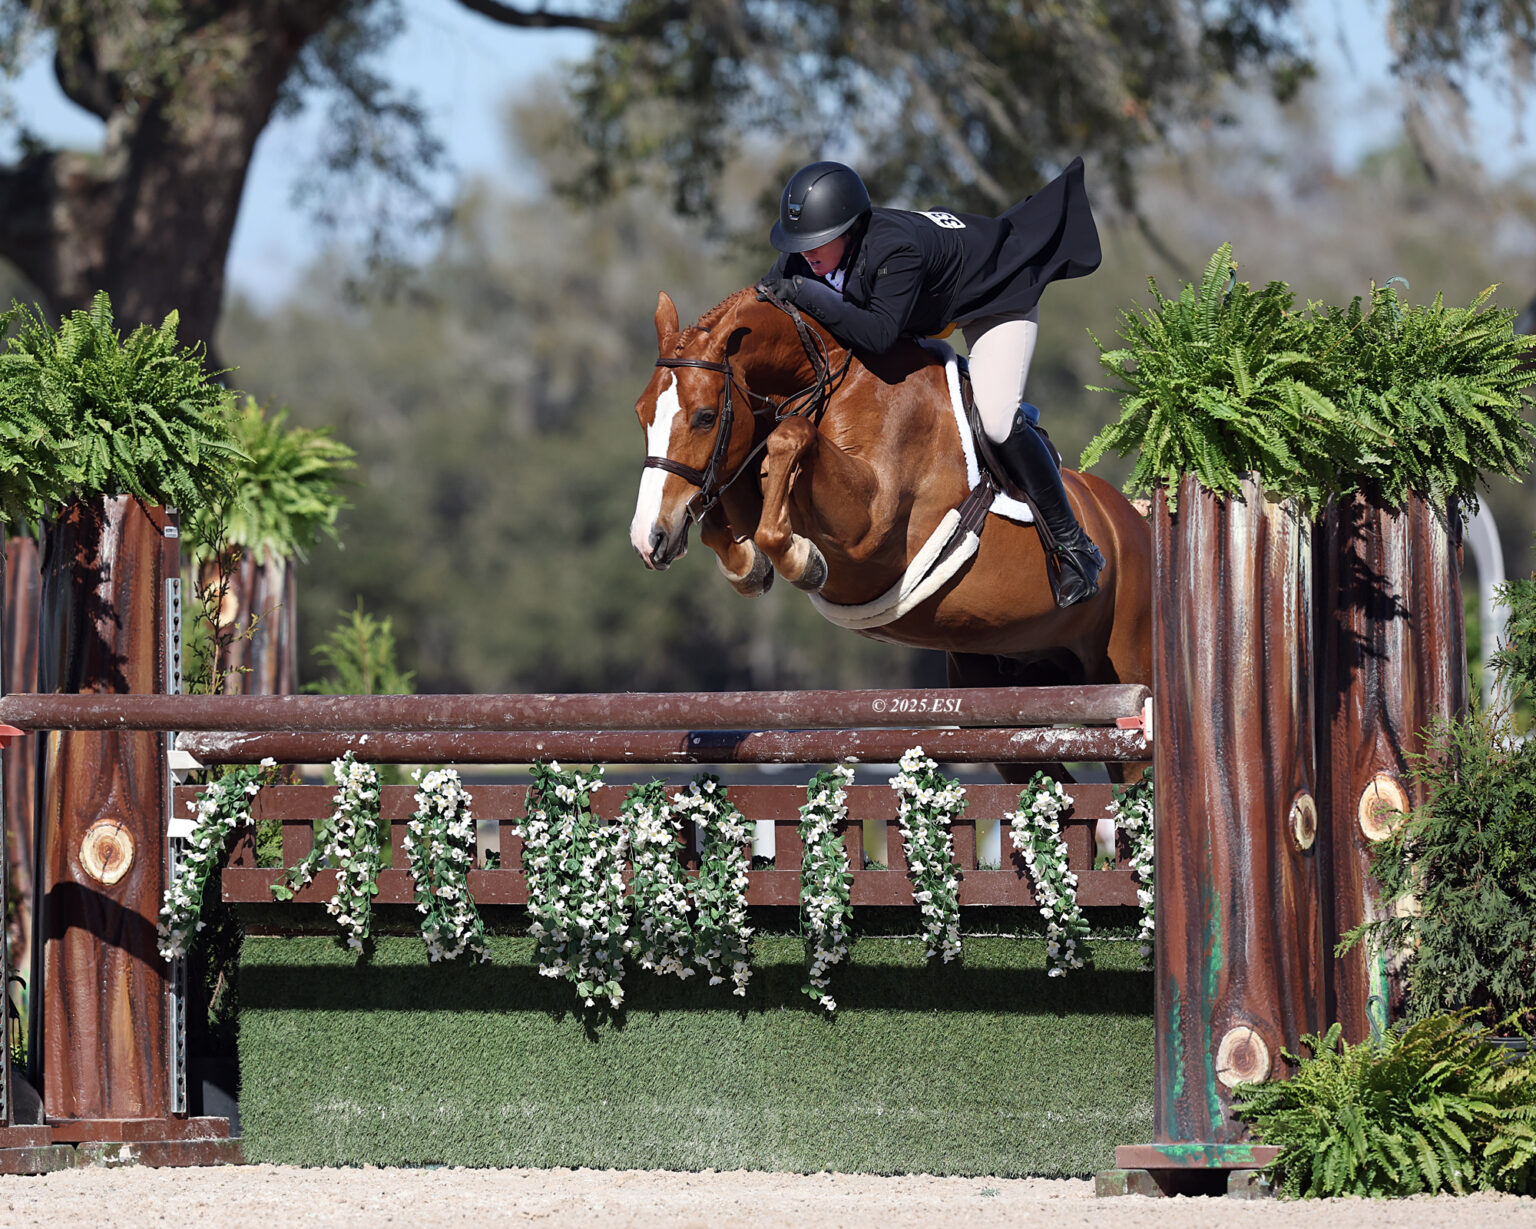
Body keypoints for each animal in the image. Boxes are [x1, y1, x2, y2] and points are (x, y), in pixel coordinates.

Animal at [628, 286, 1153, 784]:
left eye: (705, 416)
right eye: (641, 414)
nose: (647, 538)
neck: (834, 382)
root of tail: (1138, 520)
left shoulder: (868, 531)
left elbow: (790, 437)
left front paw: (798, 559)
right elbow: (728, 503)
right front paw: (747, 566)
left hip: (1124, 676)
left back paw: (1080, 566)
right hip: (999, 695)